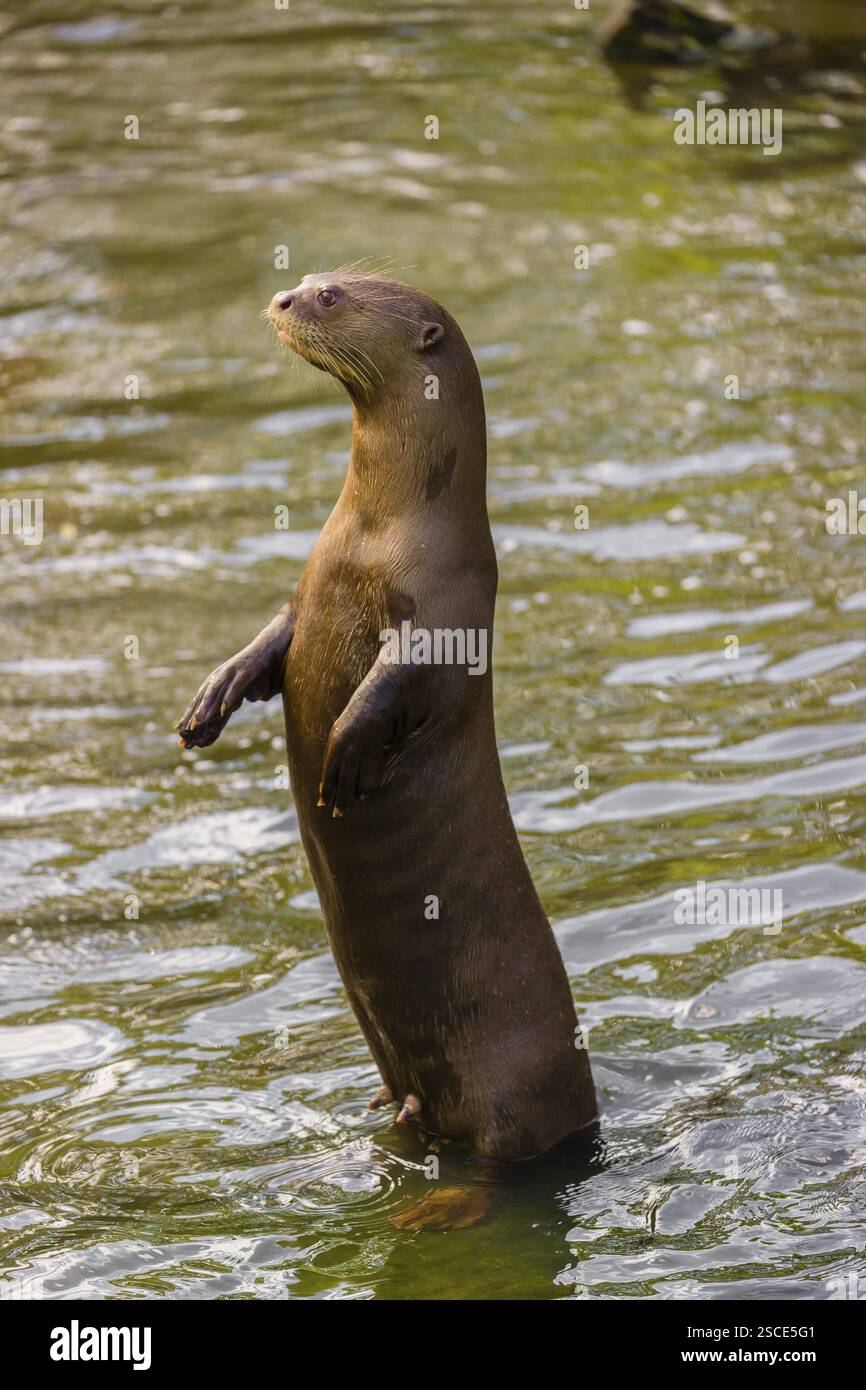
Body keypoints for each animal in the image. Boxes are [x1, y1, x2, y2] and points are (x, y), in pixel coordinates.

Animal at [177, 271, 597, 1161]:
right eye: (310, 279)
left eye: (331, 296)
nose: (283, 298)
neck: (372, 534)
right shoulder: (306, 588)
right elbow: (274, 635)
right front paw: (213, 697)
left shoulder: (445, 610)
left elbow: (395, 685)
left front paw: (343, 752)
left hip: (513, 1094)